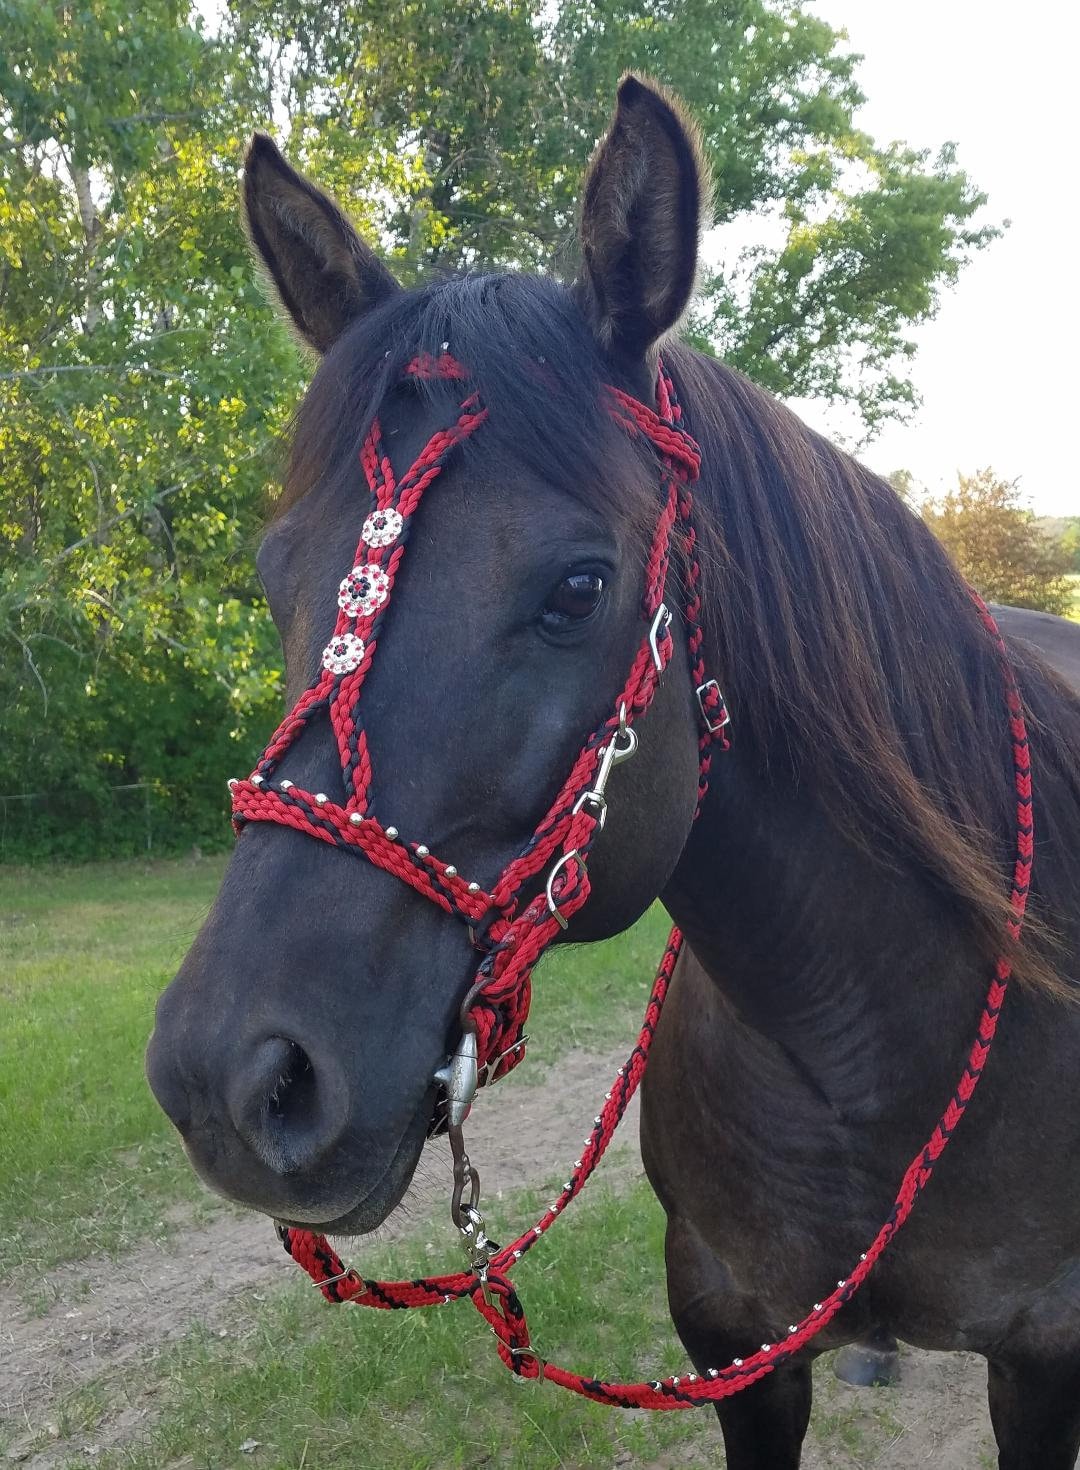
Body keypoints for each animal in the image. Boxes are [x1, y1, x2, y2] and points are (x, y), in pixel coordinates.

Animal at [146, 77, 1080, 1468]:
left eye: (580, 588)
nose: (231, 1080)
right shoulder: (738, 1345)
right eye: (272, 580)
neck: (862, 1046)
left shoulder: (1039, 1362)